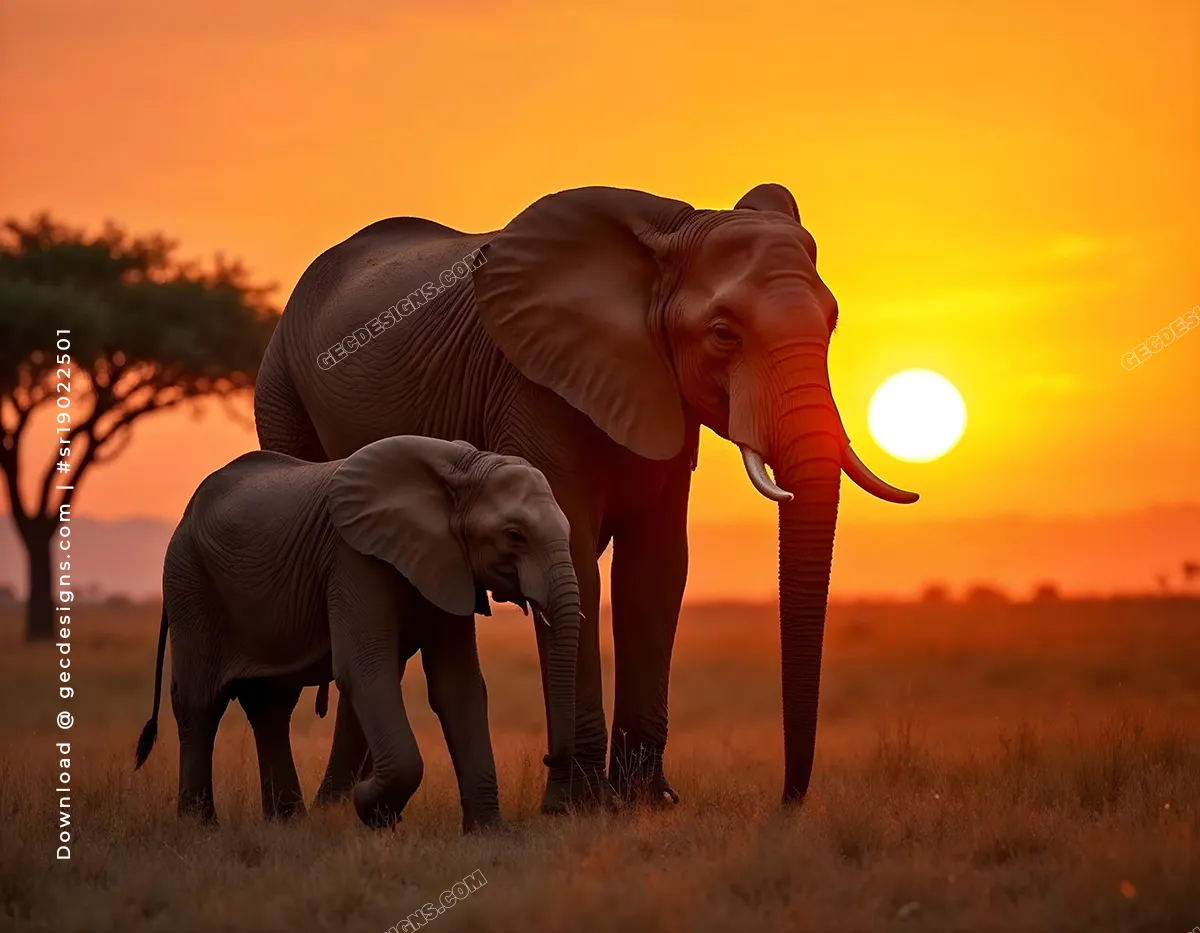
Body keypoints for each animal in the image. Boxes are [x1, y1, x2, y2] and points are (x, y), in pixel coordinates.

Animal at [133, 435, 580, 830]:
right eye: (514, 535)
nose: (548, 758)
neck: (462, 469)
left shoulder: (447, 562)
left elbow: (458, 684)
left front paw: (487, 832)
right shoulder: (354, 557)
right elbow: (365, 669)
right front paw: (370, 810)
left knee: (271, 705)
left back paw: (286, 824)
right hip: (189, 584)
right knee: (200, 702)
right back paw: (200, 826)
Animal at [253, 183, 917, 810]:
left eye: (831, 324)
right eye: (723, 334)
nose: (786, 801)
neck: (668, 237)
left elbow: (656, 570)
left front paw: (647, 803)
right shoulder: (530, 384)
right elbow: (577, 563)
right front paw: (581, 807)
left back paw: (341, 802)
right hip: (280, 387)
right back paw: (337, 803)